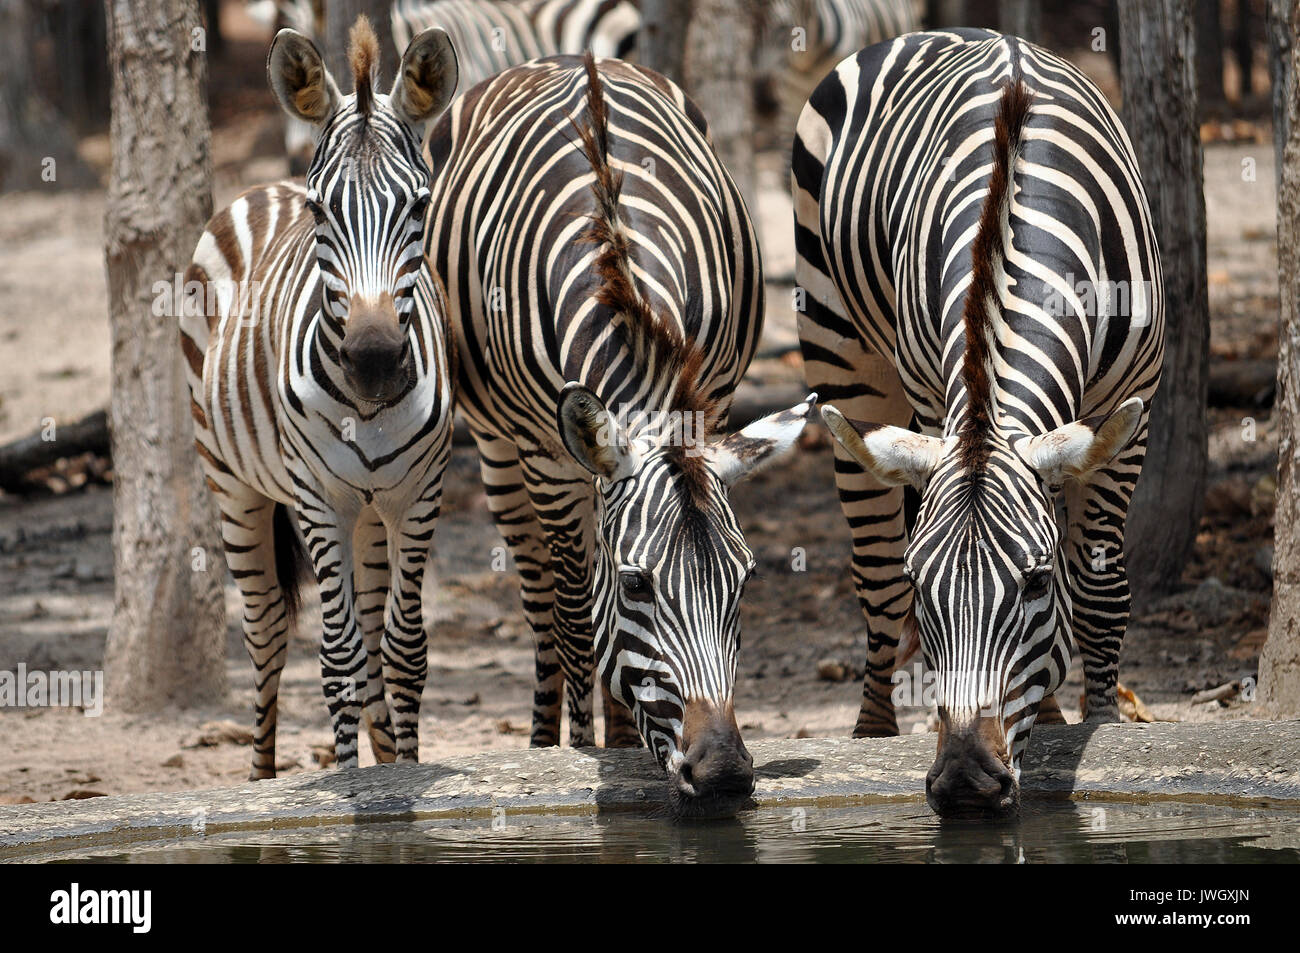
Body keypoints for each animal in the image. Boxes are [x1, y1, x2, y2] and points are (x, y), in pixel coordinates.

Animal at [180, 17, 460, 777]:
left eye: (421, 205)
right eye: (321, 210)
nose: (373, 362)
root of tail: (264, 187)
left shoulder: (418, 497)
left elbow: (402, 650)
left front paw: (402, 774)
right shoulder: (317, 499)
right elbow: (337, 660)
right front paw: (348, 780)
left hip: (368, 515)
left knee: (369, 637)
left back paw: (385, 756)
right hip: (233, 484)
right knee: (269, 631)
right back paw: (261, 777)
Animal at [425, 52, 814, 810]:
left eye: (746, 579)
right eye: (638, 585)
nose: (724, 776)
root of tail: (570, 58)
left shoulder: (711, 405)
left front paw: (627, 741)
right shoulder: (547, 460)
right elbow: (579, 617)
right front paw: (583, 748)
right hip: (498, 455)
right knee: (543, 601)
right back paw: (550, 737)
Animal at [793, 29, 1163, 816]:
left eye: (1034, 583)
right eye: (925, 583)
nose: (965, 783)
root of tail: (932, 32)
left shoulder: (1129, 414)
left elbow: (1098, 590)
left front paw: (1103, 721)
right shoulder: (936, 400)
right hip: (843, 355)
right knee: (873, 574)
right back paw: (872, 732)